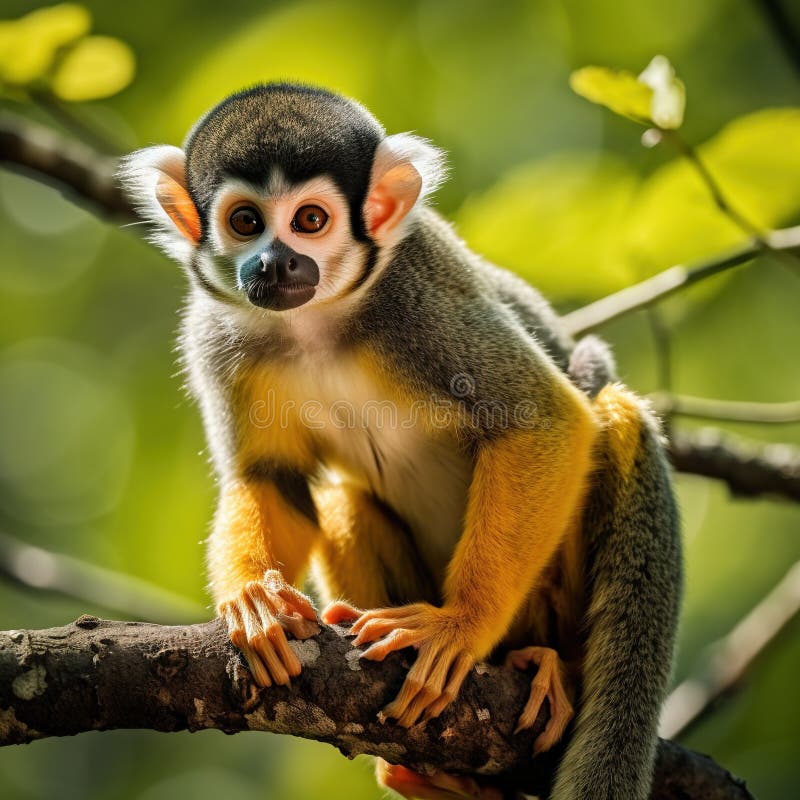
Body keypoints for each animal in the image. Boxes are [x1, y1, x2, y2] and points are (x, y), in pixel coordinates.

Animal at [120, 84, 682, 800]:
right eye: (245, 221)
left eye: (309, 220)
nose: (273, 261)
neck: (317, 321)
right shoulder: (216, 334)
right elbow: (270, 476)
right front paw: (255, 600)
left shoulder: (421, 300)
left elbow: (544, 418)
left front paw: (457, 625)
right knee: (342, 498)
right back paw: (447, 777)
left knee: (610, 406)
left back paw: (550, 667)